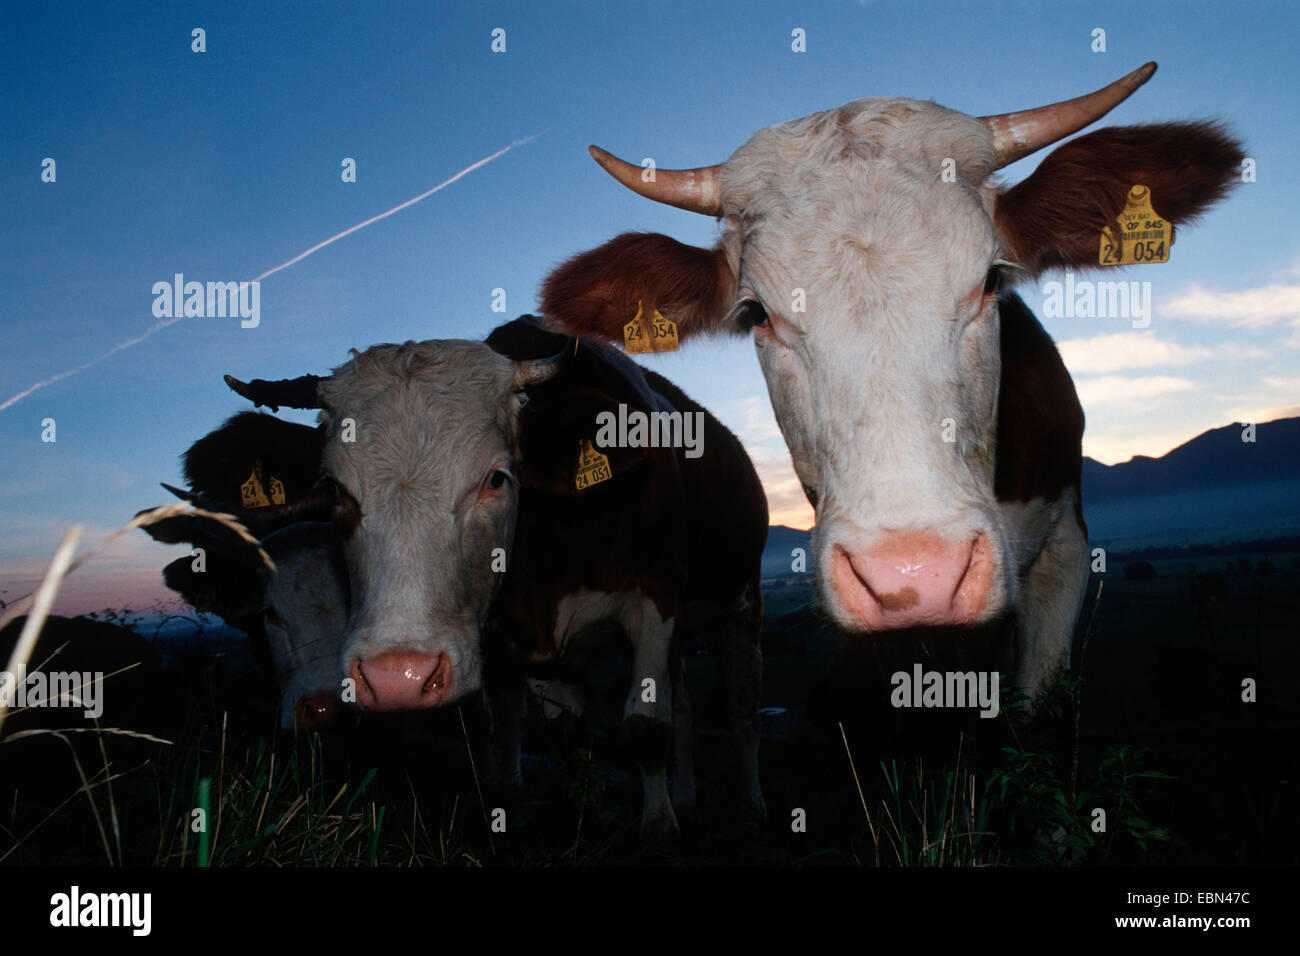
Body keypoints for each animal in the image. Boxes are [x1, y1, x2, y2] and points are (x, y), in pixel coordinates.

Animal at [219, 317, 769, 839]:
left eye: (496, 479)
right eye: (333, 488)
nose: (397, 677)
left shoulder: (655, 601)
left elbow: (645, 726)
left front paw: (658, 826)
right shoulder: (523, 645)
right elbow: (555, 732)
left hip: (741, 603)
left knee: (740, 708)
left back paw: (750, 805)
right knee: (685, 707)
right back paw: (690, 799)